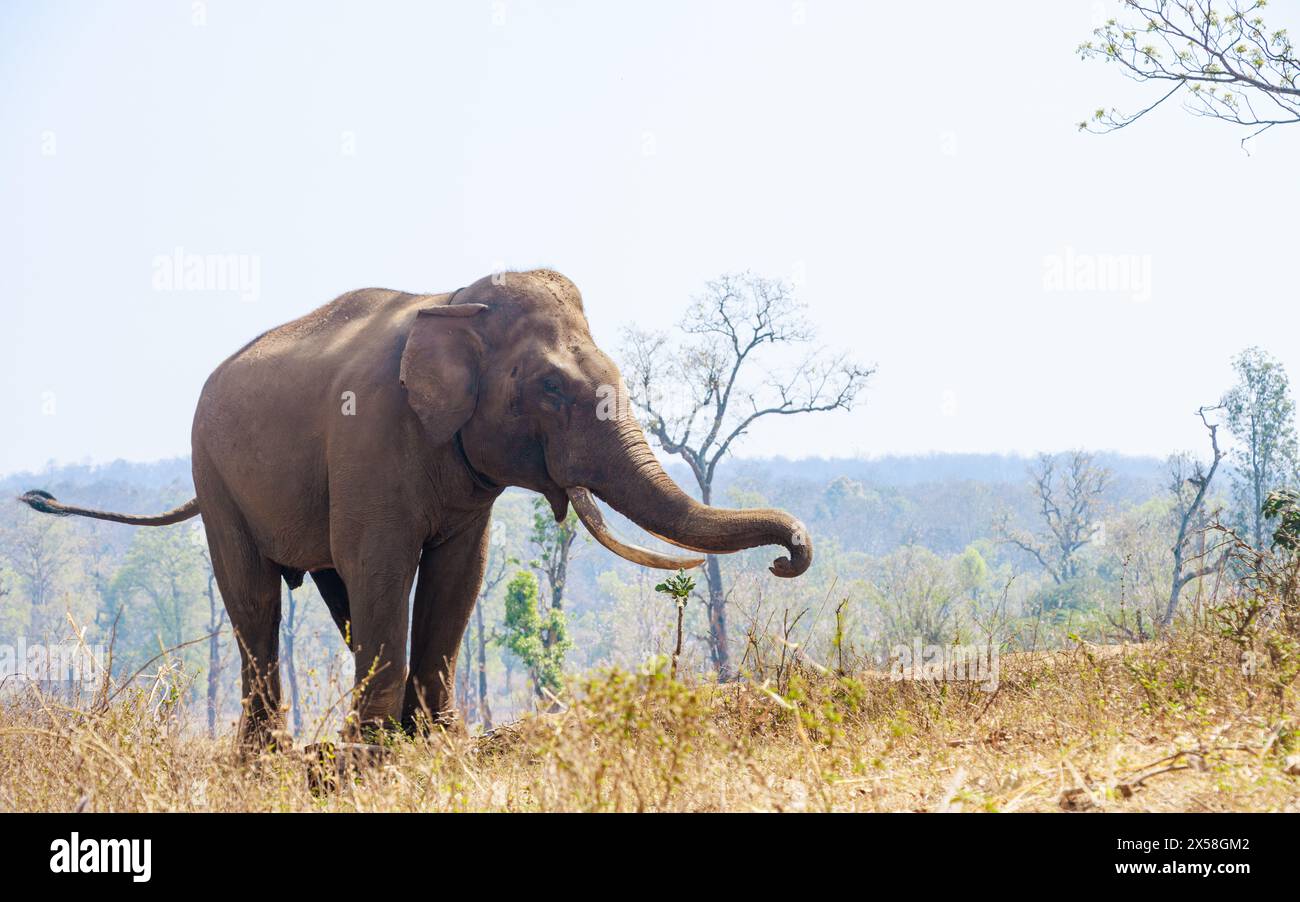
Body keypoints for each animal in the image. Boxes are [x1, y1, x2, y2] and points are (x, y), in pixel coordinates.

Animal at [20, 270, 811, 746]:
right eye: (552, 390)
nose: (787, 558)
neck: (455, 299)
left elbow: (457, 577)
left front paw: (436, 743)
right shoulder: (370, 438)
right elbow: (382, 565)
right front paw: (372, 754)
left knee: (334, 594)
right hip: (214, 477)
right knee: (254, 598)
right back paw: (266, 755)